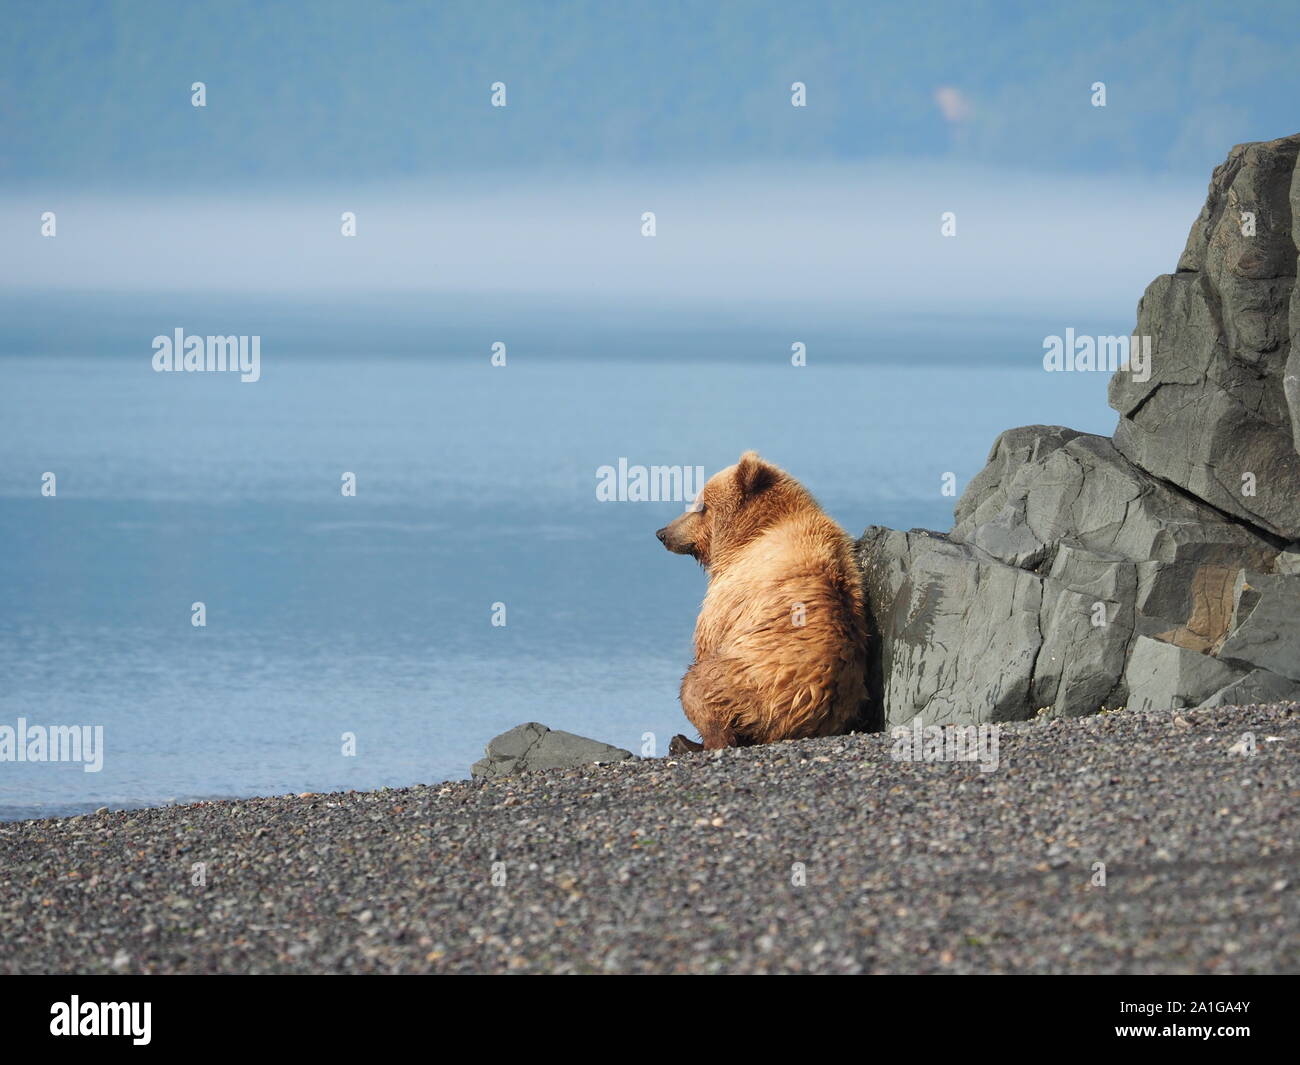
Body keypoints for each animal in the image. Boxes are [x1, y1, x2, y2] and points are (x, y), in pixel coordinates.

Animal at [655, 451, 869, 752]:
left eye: (701, 506)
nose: (663, 533)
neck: (753, 531)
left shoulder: (735, 586)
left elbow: (709, 635)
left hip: (747, 682)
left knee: (696, 688)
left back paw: (689, 741)